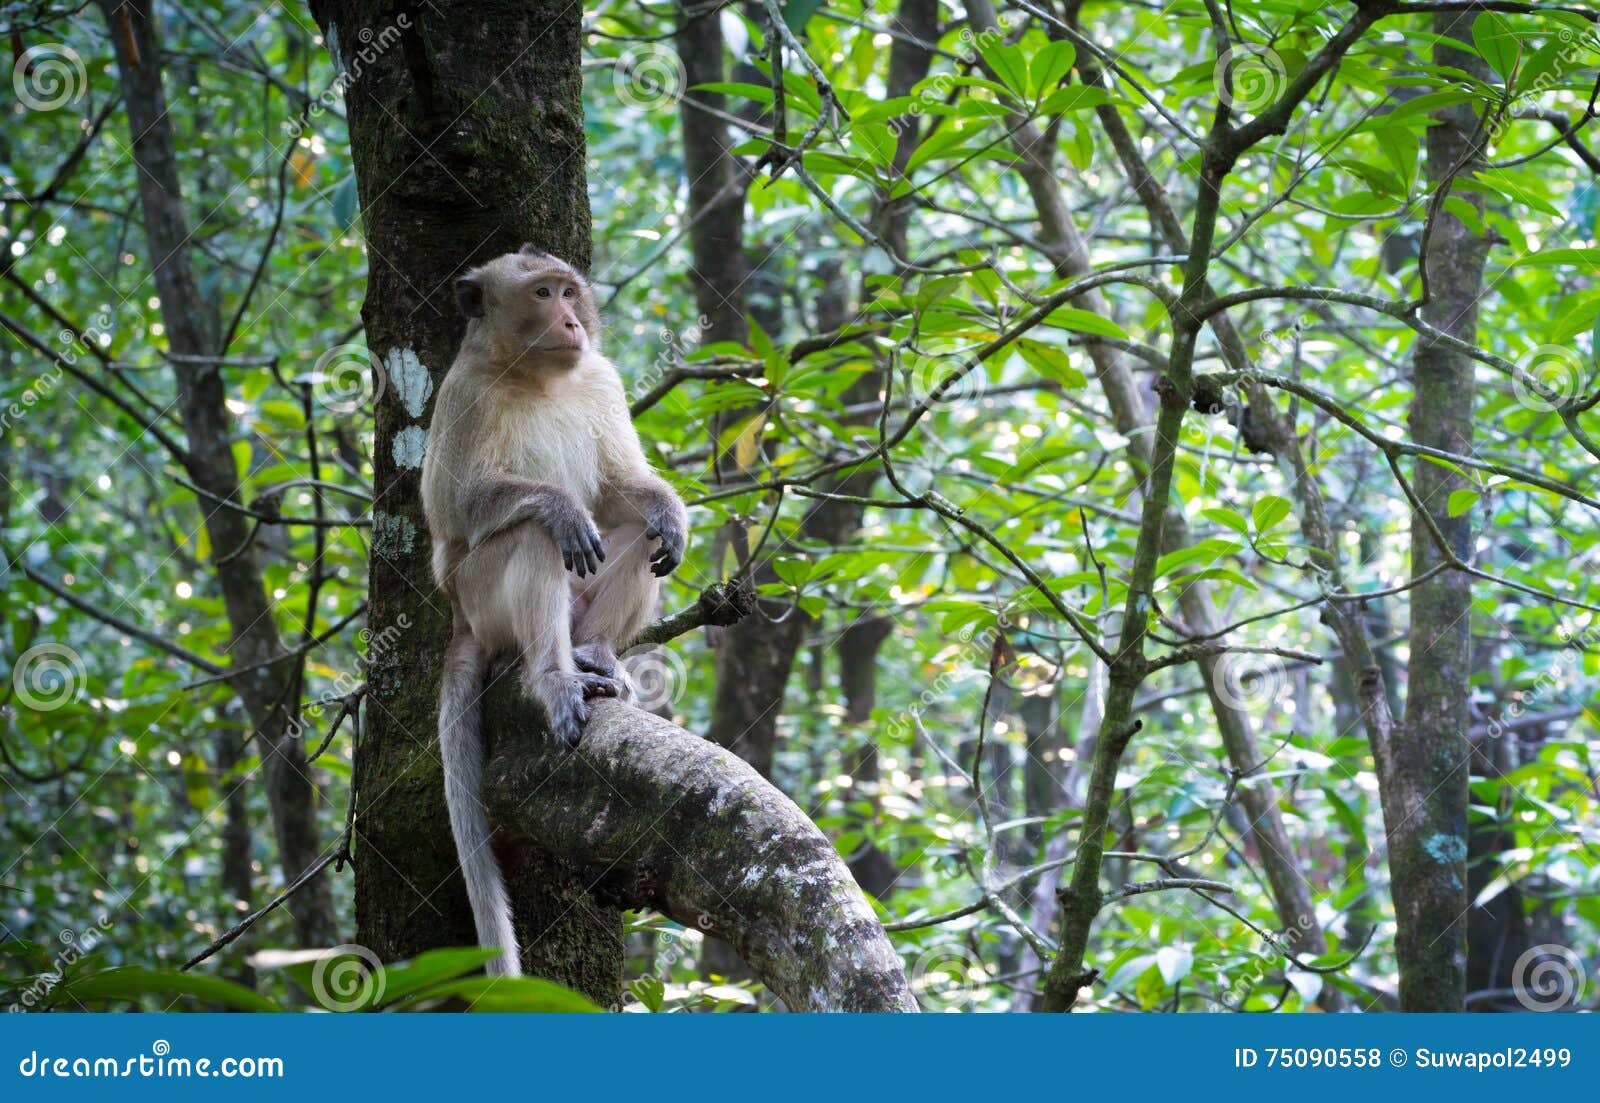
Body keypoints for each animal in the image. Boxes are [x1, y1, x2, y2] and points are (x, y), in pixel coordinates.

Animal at [419, 246, 689, 976]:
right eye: (542, 294)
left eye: (569, 292)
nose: (571, 320)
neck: (536, 374)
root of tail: (458, 617)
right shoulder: (460, 393)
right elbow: (458, 509)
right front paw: (562, 507)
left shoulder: (600, 376)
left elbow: (623, 494)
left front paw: (668, 510)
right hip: (480, 596)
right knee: (532, 538)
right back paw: (554, 678)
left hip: (576, 606)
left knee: (632, 536)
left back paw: (595, 652)